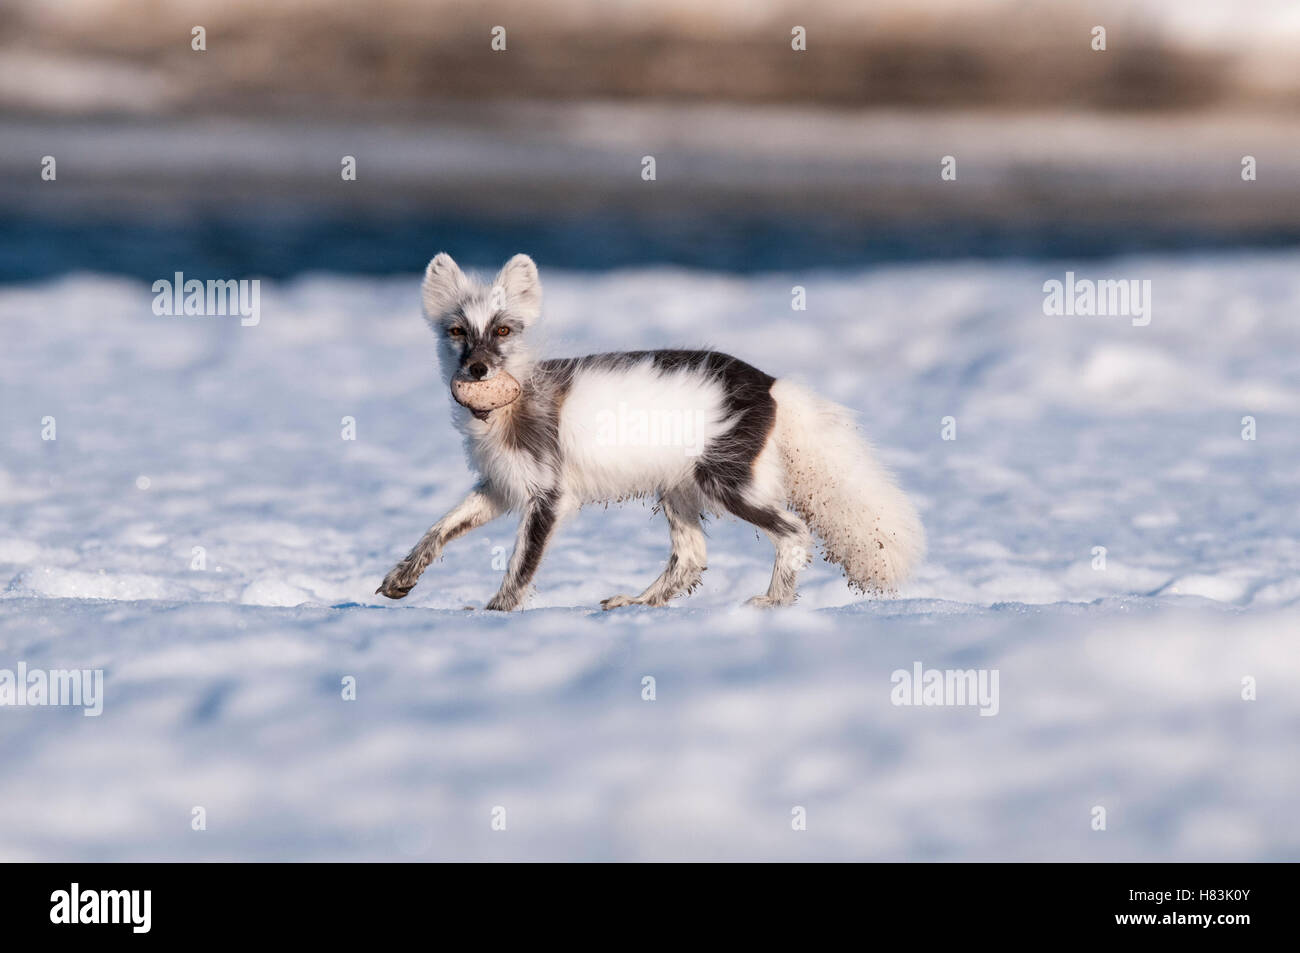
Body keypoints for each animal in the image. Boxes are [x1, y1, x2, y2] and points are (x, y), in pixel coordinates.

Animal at [377, 253, 924, 611]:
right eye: (456, 332)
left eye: (504, 331)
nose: (478, 370)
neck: (509, 408)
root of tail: (772, 384)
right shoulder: (500, 485)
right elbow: (441, 527)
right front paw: (401, 579)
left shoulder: (549, 495)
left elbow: (521, 564)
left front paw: (496, 614)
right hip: (677, 487)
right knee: (692, 559)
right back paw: (638, 603)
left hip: (724, 481)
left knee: (793, 532)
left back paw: (773, 603)